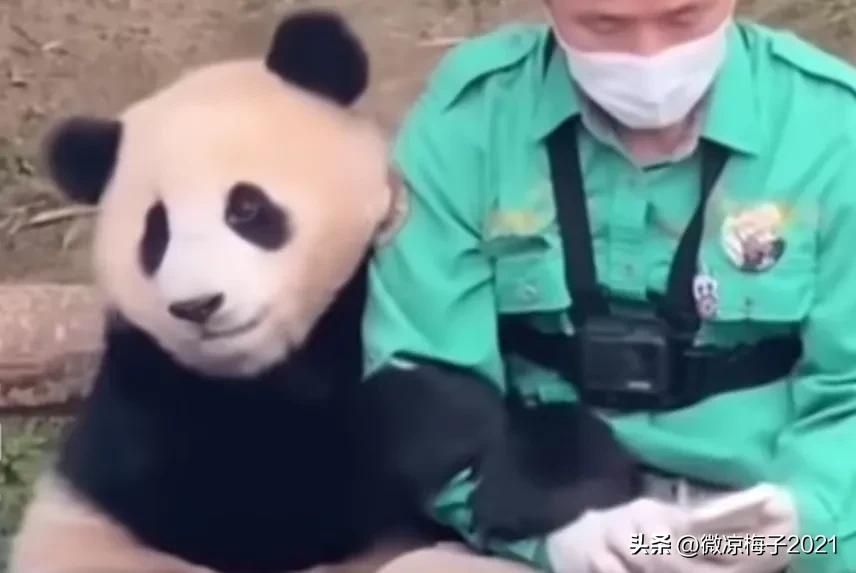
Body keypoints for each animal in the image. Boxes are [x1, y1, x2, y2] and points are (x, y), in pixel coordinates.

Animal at [9, 9, 643, 573]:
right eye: (156, 234)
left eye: (246, 208)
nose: (197, 305)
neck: (276, 361)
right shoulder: (150, 396)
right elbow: (265, 503)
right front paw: (448, 414)